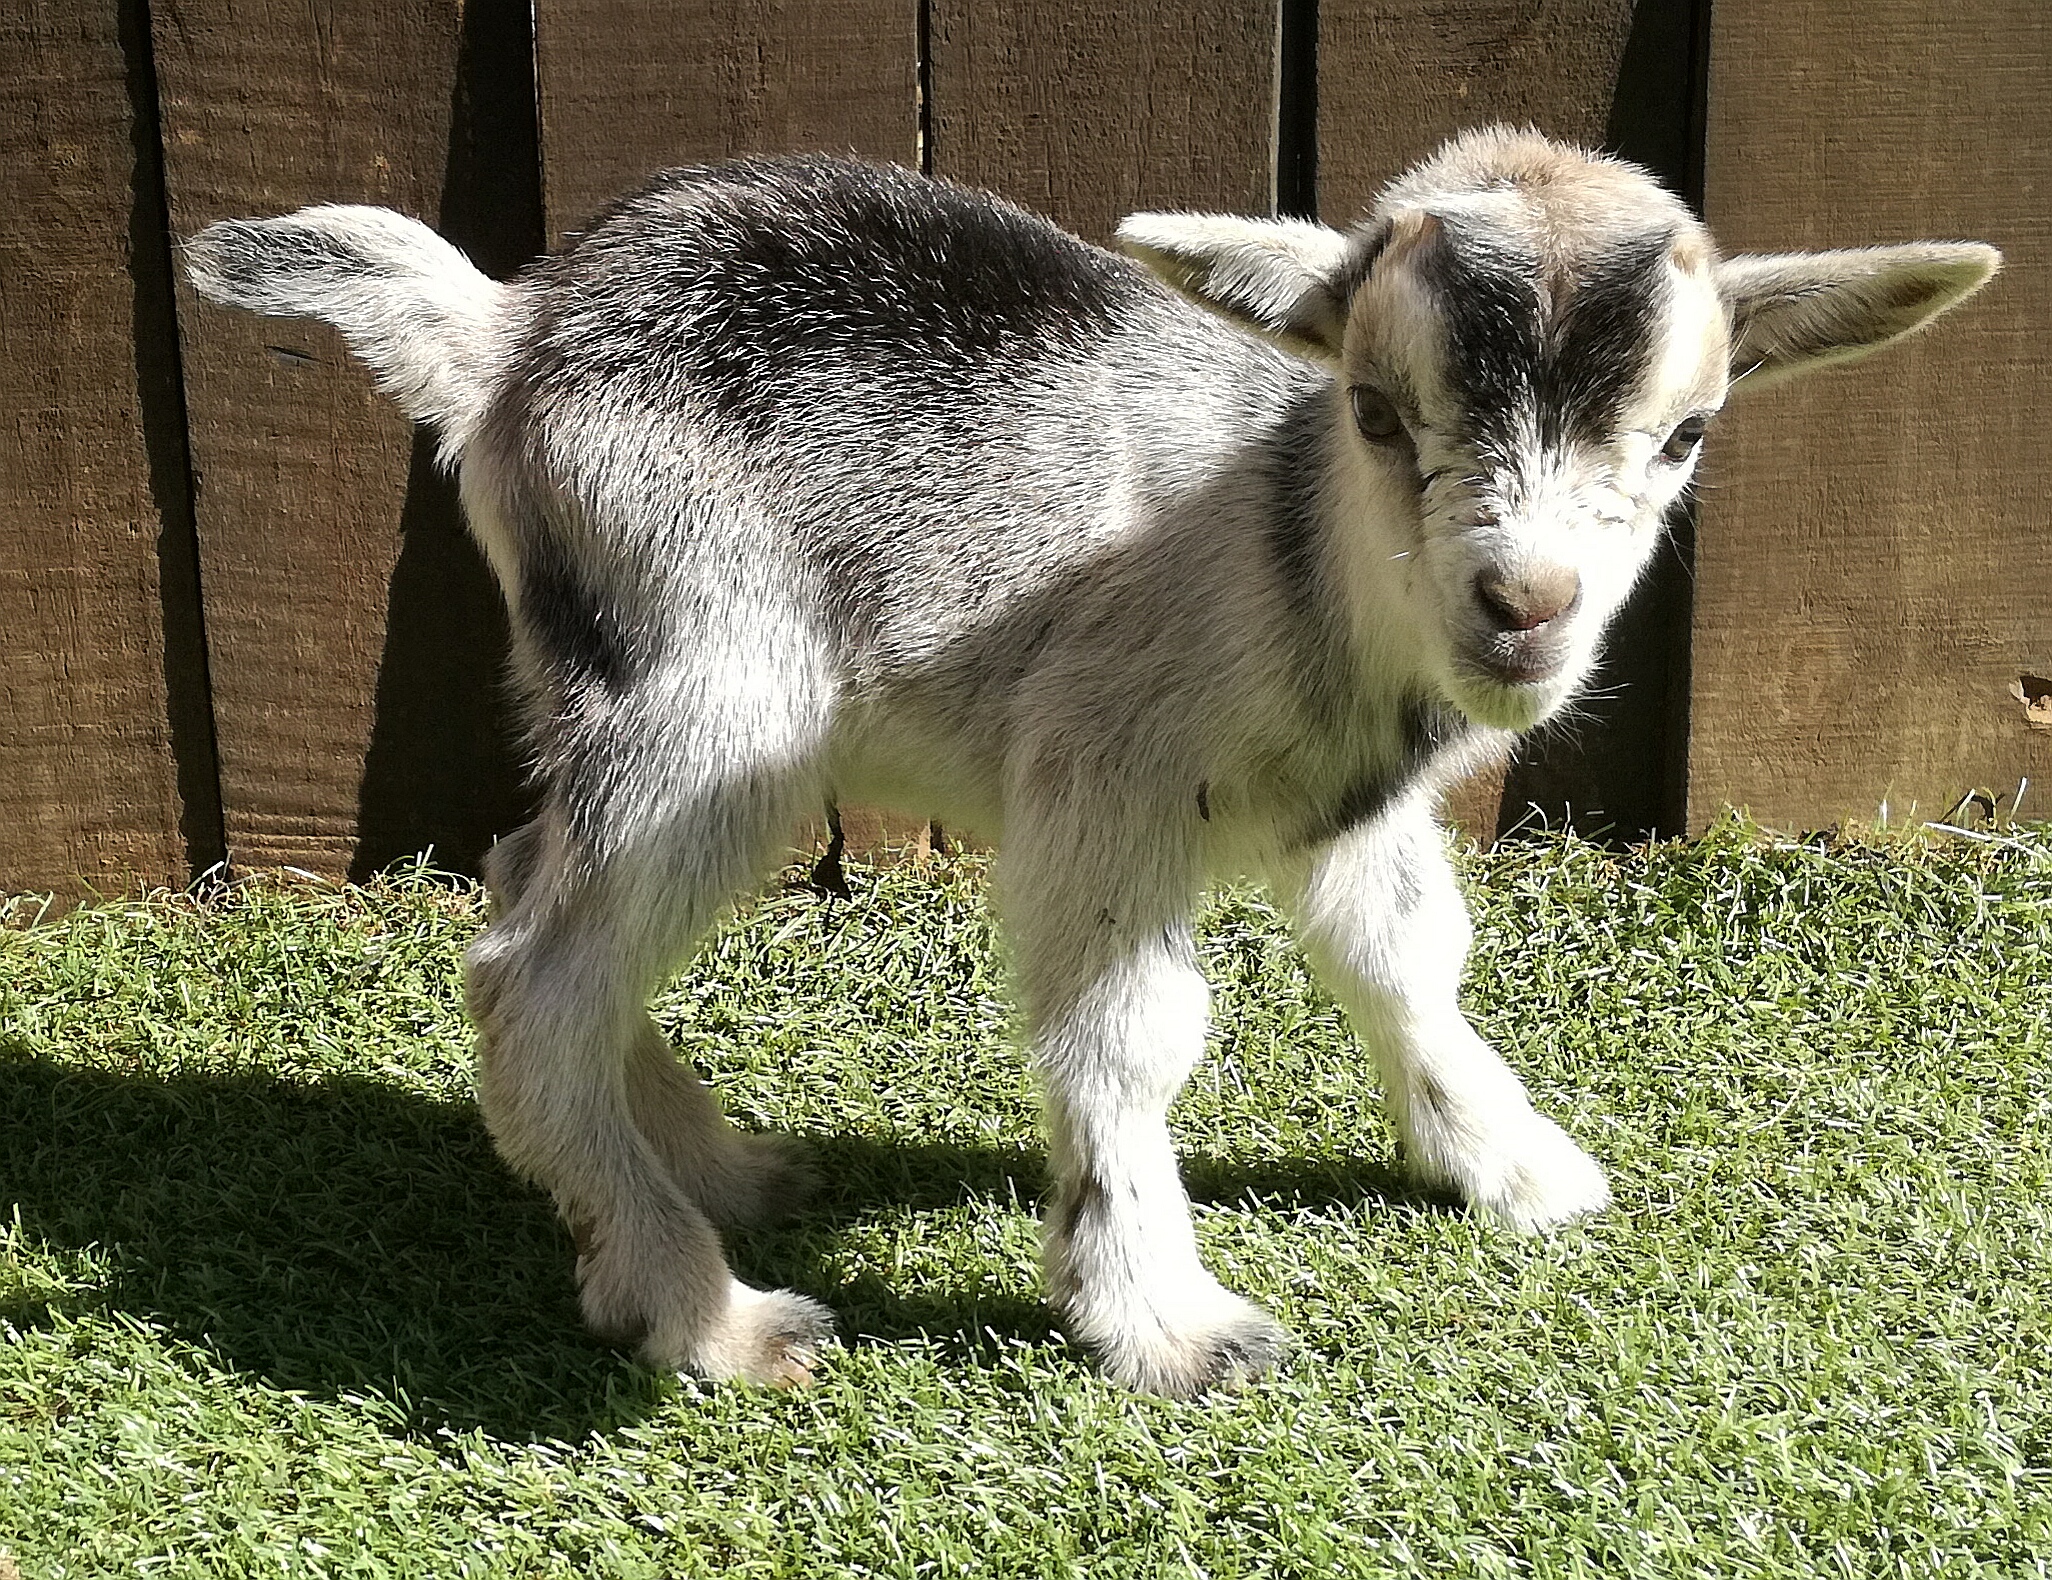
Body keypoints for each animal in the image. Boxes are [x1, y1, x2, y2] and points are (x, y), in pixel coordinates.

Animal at [184, 128, 1999, 1397]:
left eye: (1685, 433)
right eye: (1374, 409)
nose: (1522, 609)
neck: (1284, 545)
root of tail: (506, 334)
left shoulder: (1352, 810)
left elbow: (1407, 958)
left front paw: (1515, 1166)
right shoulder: (1099, 786)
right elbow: (1131, 1039)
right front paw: (1166, 1324)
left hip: (637, 711)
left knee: (534, 890)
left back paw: (715, 1166)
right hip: (708, 684)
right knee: (532, 972)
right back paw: (704, 1313)